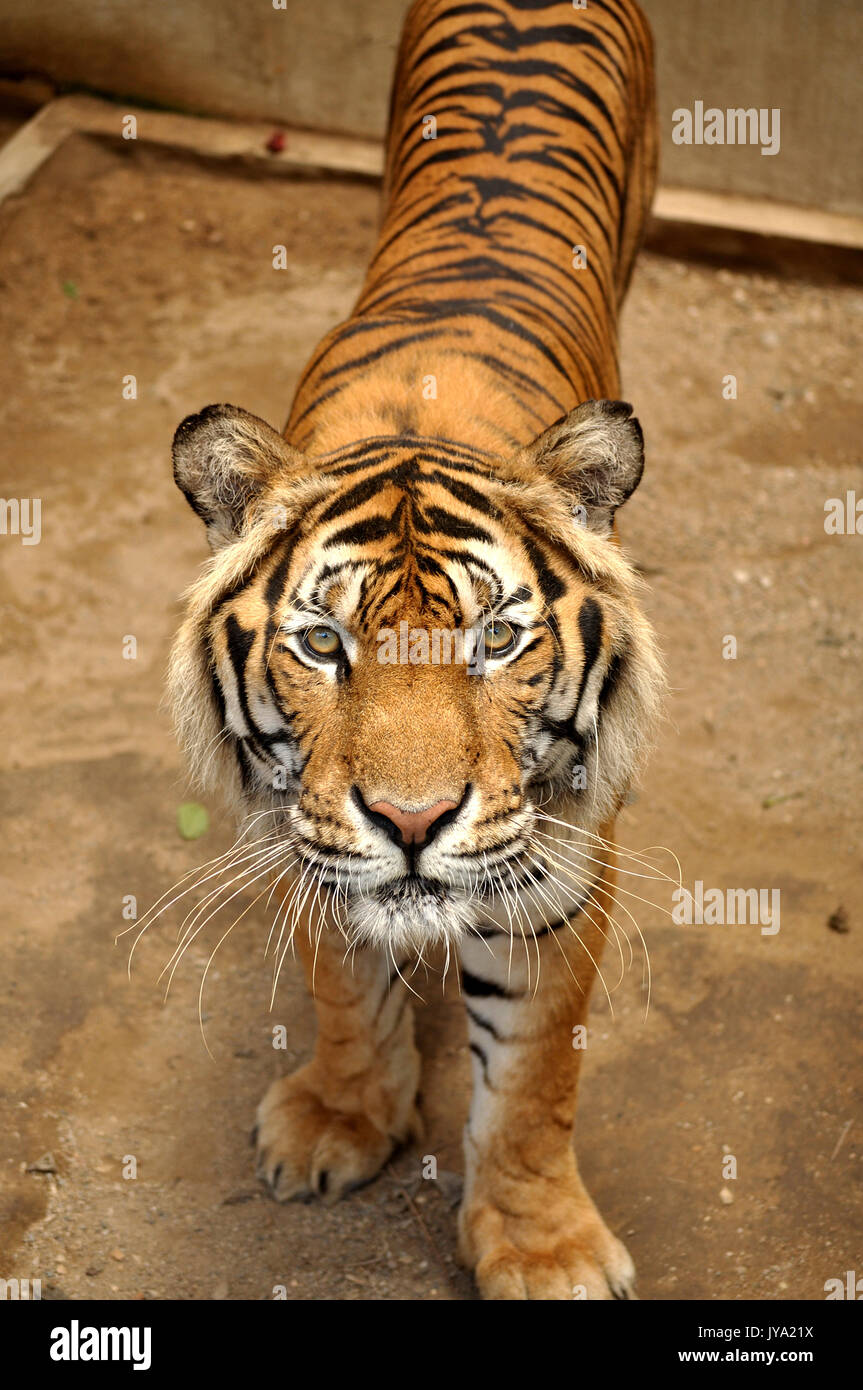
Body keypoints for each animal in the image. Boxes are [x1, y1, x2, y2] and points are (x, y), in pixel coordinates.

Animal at [169, 0, 663, 1300]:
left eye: (497, 638)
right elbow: (343, 985)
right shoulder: (302, 823)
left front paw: (542, 1250)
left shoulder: (557, 860)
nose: (408, 820)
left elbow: (533, 1076)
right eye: (320, 640)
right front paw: (340, 1121)